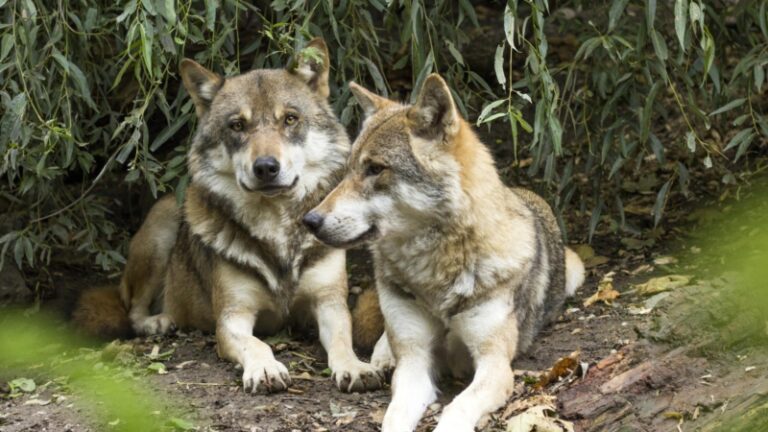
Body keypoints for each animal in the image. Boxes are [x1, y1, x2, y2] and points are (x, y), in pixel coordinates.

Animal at [72, 38, 384, 394]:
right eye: (237, 125)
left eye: (290, 119)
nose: (265, 167)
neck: (276, 227)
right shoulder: (232, 317)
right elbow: (257, 344)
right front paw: (265, 369)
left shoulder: (330, 304)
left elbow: (344, 342)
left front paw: (355, 368)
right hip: (162, 230)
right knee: (132, 309)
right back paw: (159, 321)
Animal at [303, 74, 585, 431]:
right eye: (350, 169)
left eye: (375, 169)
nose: (310, 220)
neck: (436, 274)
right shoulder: (414, 363)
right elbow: (395, 416)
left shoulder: (494, 366)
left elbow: (456, 409)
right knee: (386, 338)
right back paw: (382, 358)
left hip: (576, 271)